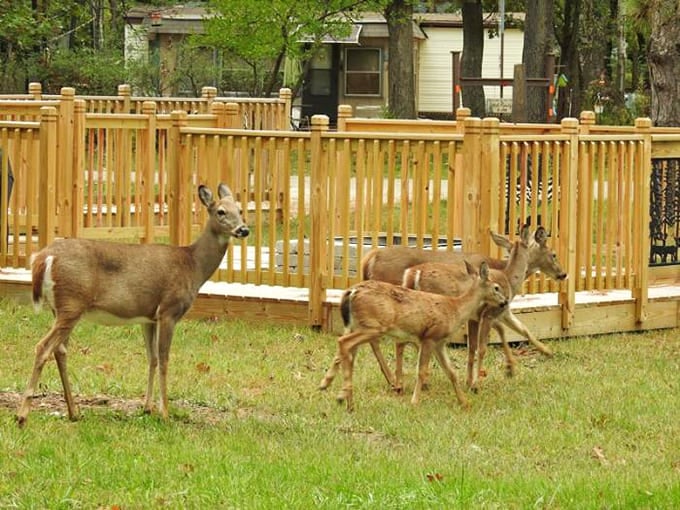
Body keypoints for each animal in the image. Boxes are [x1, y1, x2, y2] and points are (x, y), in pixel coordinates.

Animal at [15, 183, 249, 427]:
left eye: (240, 210)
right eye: (221, 211)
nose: (244, 230)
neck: (193, 265)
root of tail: (43, 257)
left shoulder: (149, 317)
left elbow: (152, 358)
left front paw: (147, 408)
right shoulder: (169, 310)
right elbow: (164, 359)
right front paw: (165, 413)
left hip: (62, 308)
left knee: (60, 350)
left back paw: (74, 412)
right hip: (72, 303)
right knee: (43, 346)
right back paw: (22, 415)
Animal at [321, 260, 511, 412]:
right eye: (496, 288)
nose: (505, 302)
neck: (454, 310)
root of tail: (351, 292)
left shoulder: (439, 343)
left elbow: (451, 373)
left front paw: (464, 403)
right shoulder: (429, 337)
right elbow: (422, 371)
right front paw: (414, 401)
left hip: (356, 325)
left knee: (347, 352)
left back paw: (344, 399)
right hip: (372, 327)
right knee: (343, 343)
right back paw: (338, 393)